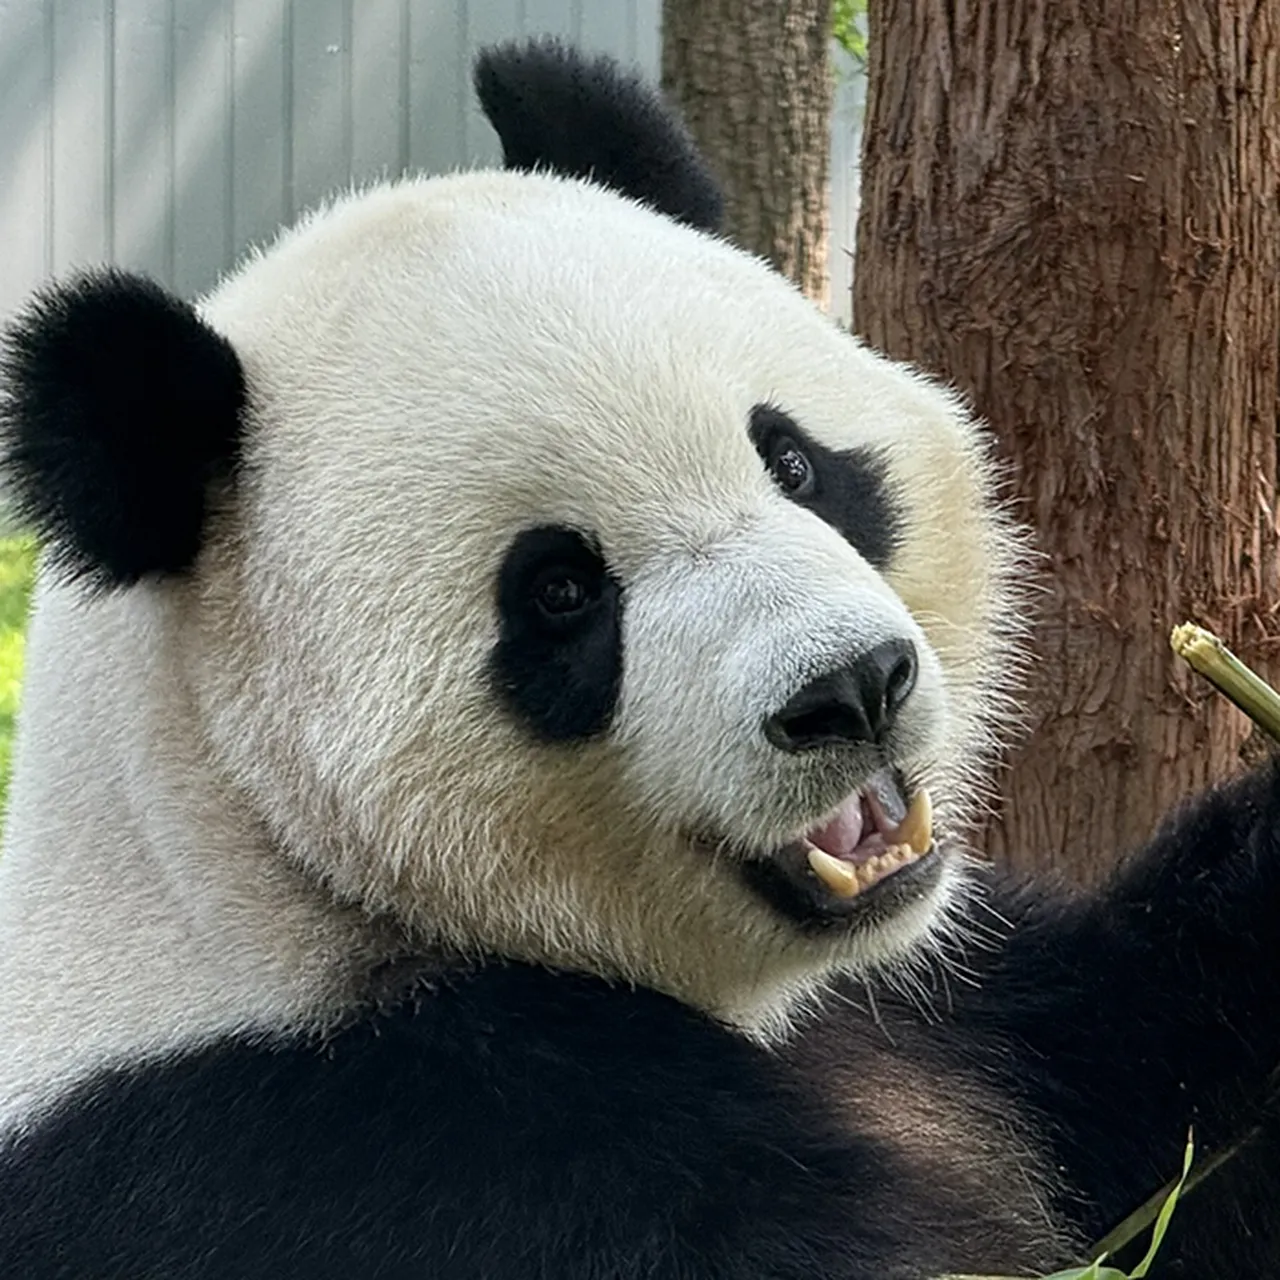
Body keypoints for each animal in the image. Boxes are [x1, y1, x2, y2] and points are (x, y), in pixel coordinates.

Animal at [1, 38, 1279, 1280]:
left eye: (793, 461)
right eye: (561, 592)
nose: (850, 687)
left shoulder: (963, 994)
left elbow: (1163, 1072)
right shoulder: (340, 1141)